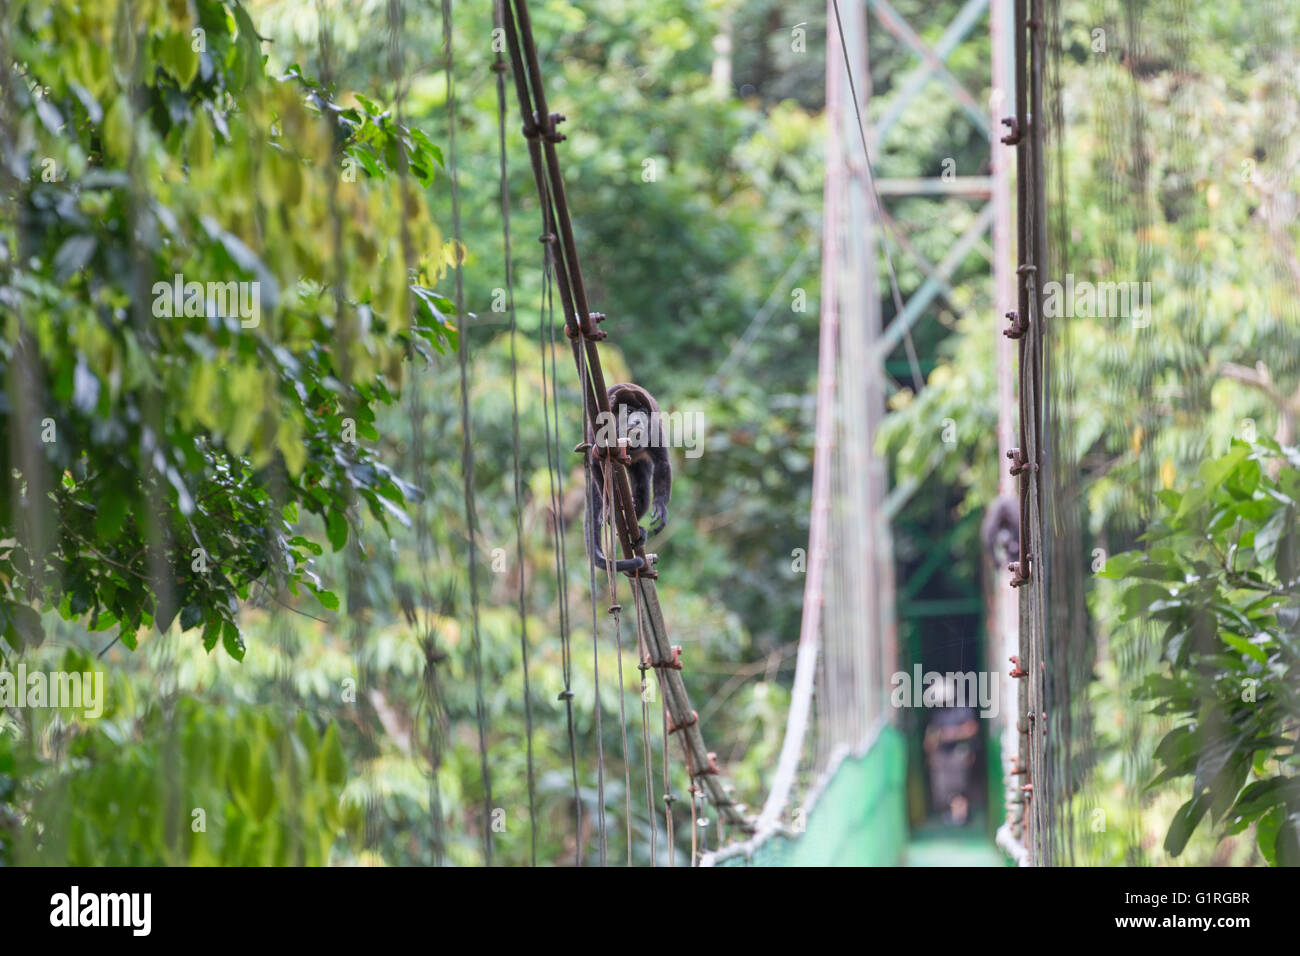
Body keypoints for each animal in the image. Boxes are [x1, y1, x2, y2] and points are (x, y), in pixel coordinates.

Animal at [582, 383, 671, 574]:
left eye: (643, 412)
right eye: (629, 411)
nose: (638, 421)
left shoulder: (653, 428)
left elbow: (662, 462)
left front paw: (660, 505)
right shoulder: (597, 425)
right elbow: (596, 462)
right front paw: (609, 507)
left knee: (642, 485)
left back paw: (637, 530)